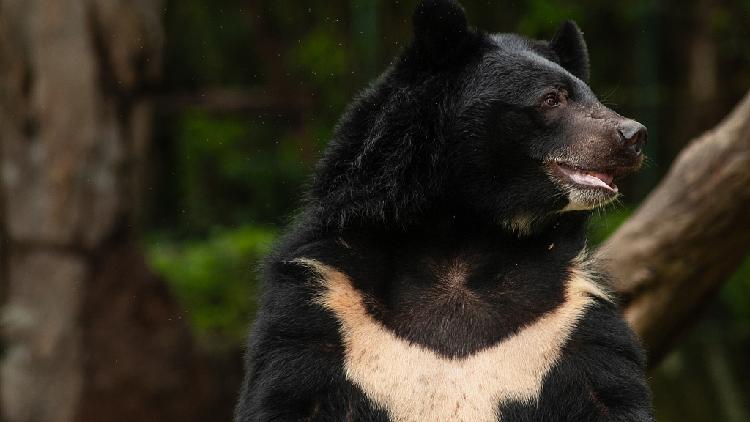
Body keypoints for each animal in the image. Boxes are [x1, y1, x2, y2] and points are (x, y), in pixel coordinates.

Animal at [235, 1, 654, 421]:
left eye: (590, 95)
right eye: (552, 98)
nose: (633, 135)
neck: (463, 238)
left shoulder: (575, 317)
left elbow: (609, 395)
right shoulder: (324, 300)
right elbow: (289, 391)